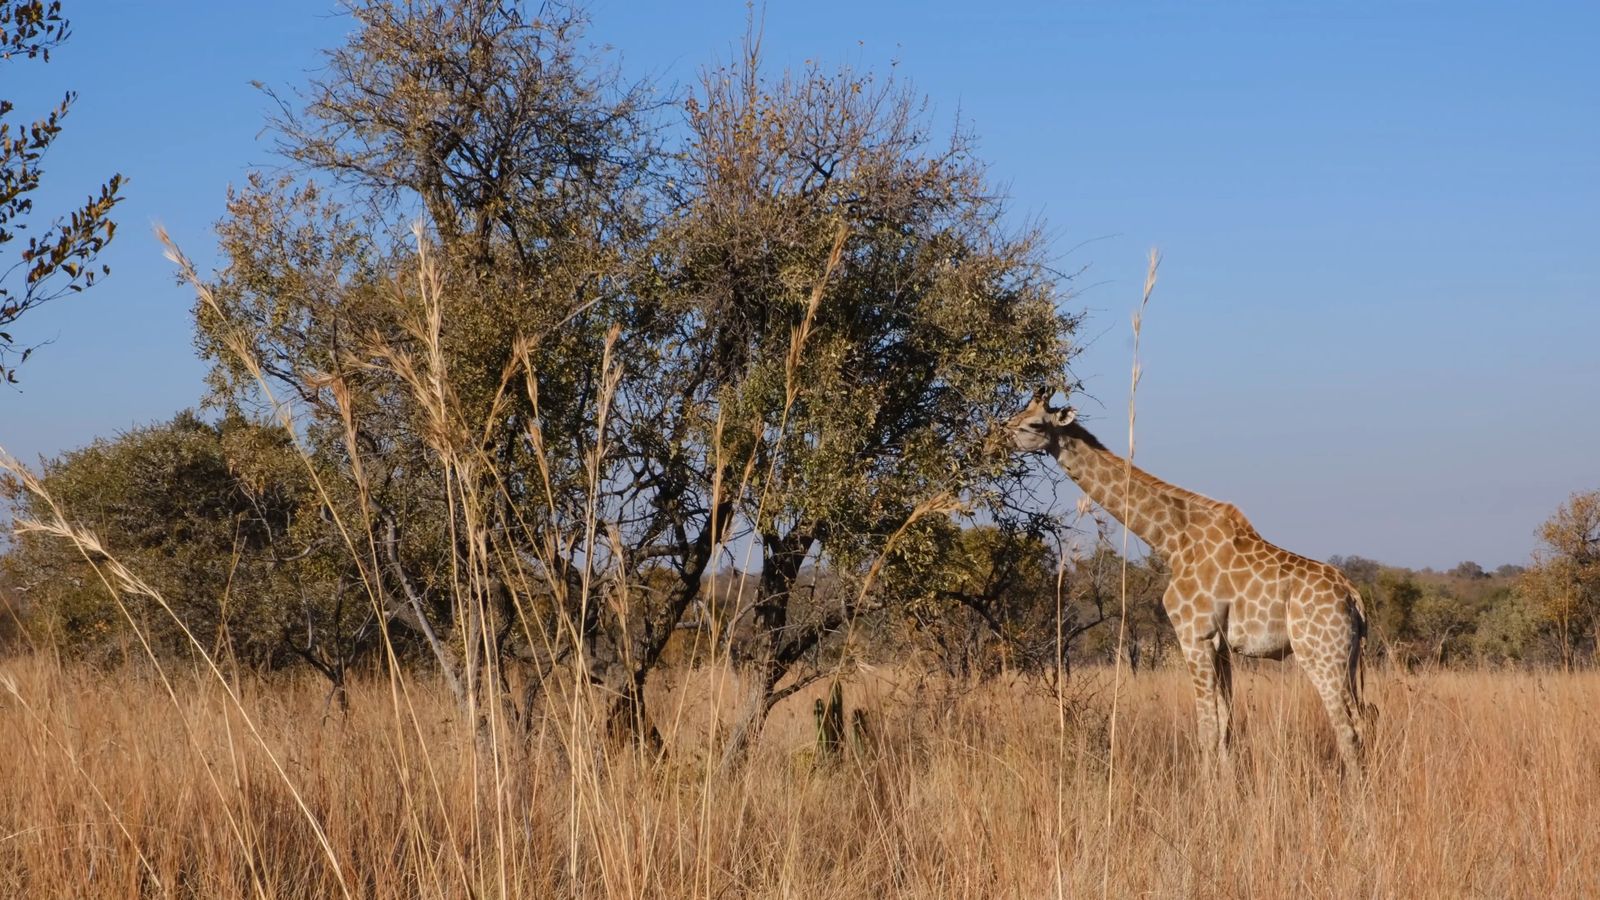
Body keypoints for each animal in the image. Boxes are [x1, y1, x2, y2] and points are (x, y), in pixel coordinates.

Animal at [1007, 392, 1371, 770]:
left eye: (1035, 423)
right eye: (1017, 413)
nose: (1002, 434)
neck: (1171, 541)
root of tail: (1354, 598)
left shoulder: (1194, 636)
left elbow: (1207, 730)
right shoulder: (1220, 646)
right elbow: (1225, 728)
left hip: (1320, 654)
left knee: (1348, 729)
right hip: (1349, 657)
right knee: (1364, 721)